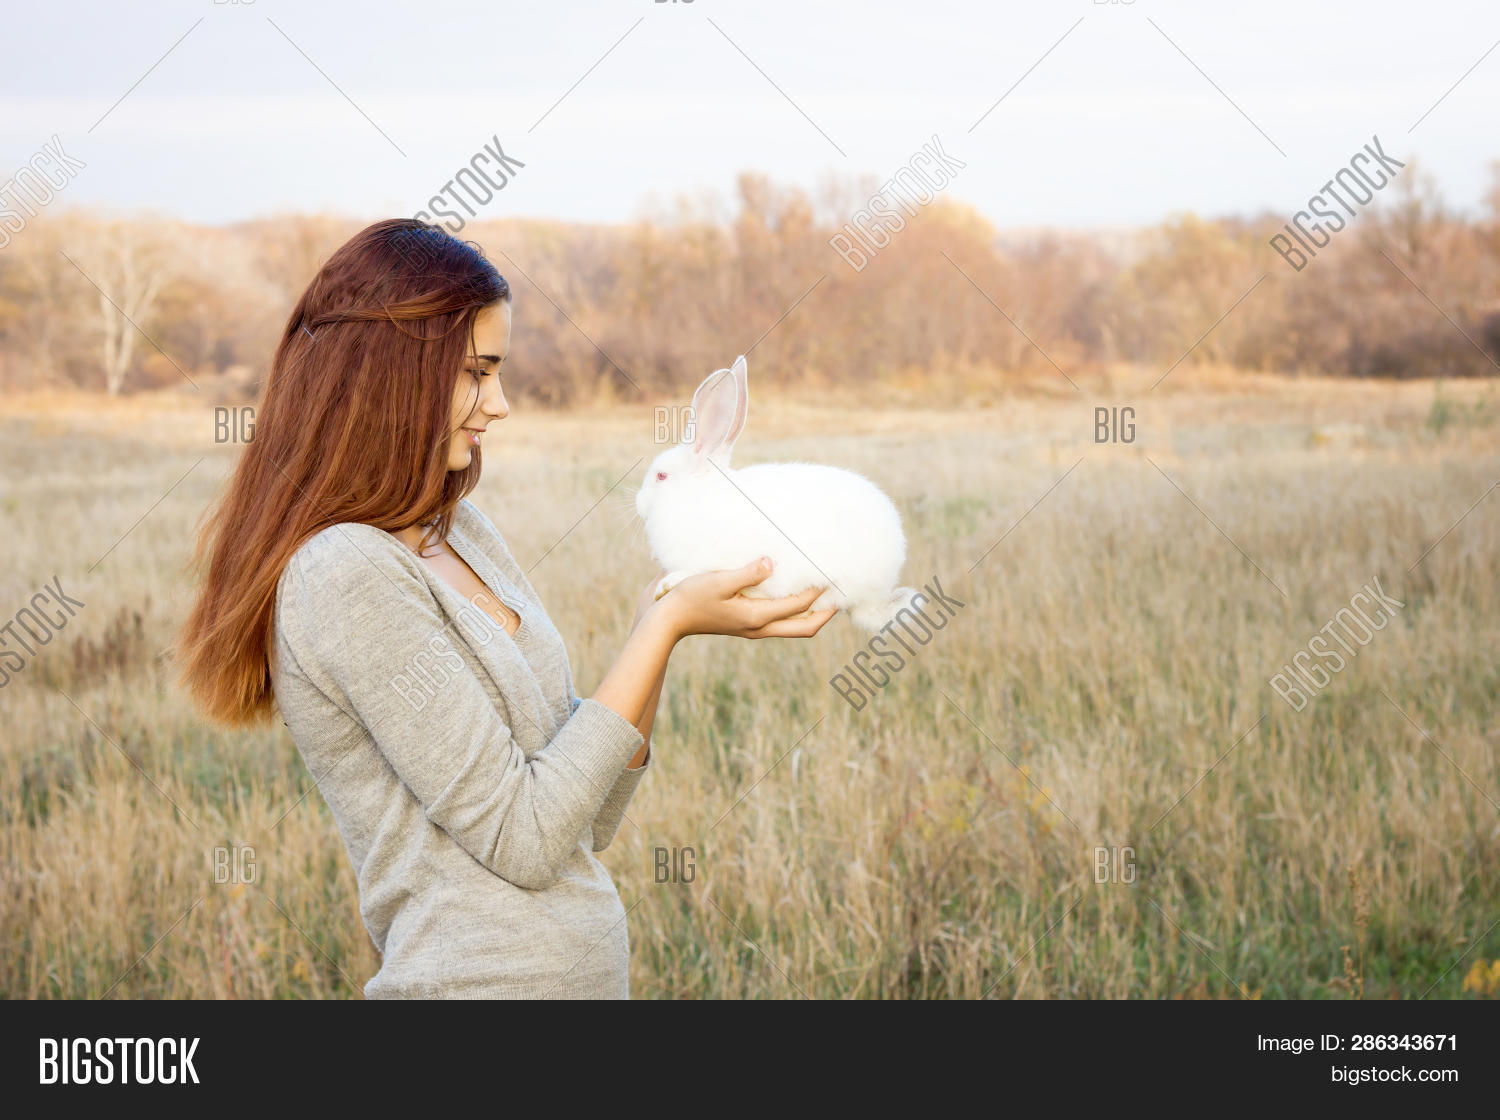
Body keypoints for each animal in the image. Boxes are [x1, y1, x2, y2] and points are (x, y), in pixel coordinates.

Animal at [635, 354, 917, 633]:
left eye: (661, 476)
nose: (639, 502)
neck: (694, 495)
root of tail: (875, 597)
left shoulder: (715, 561)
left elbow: (693, 571)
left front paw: (666, 585)